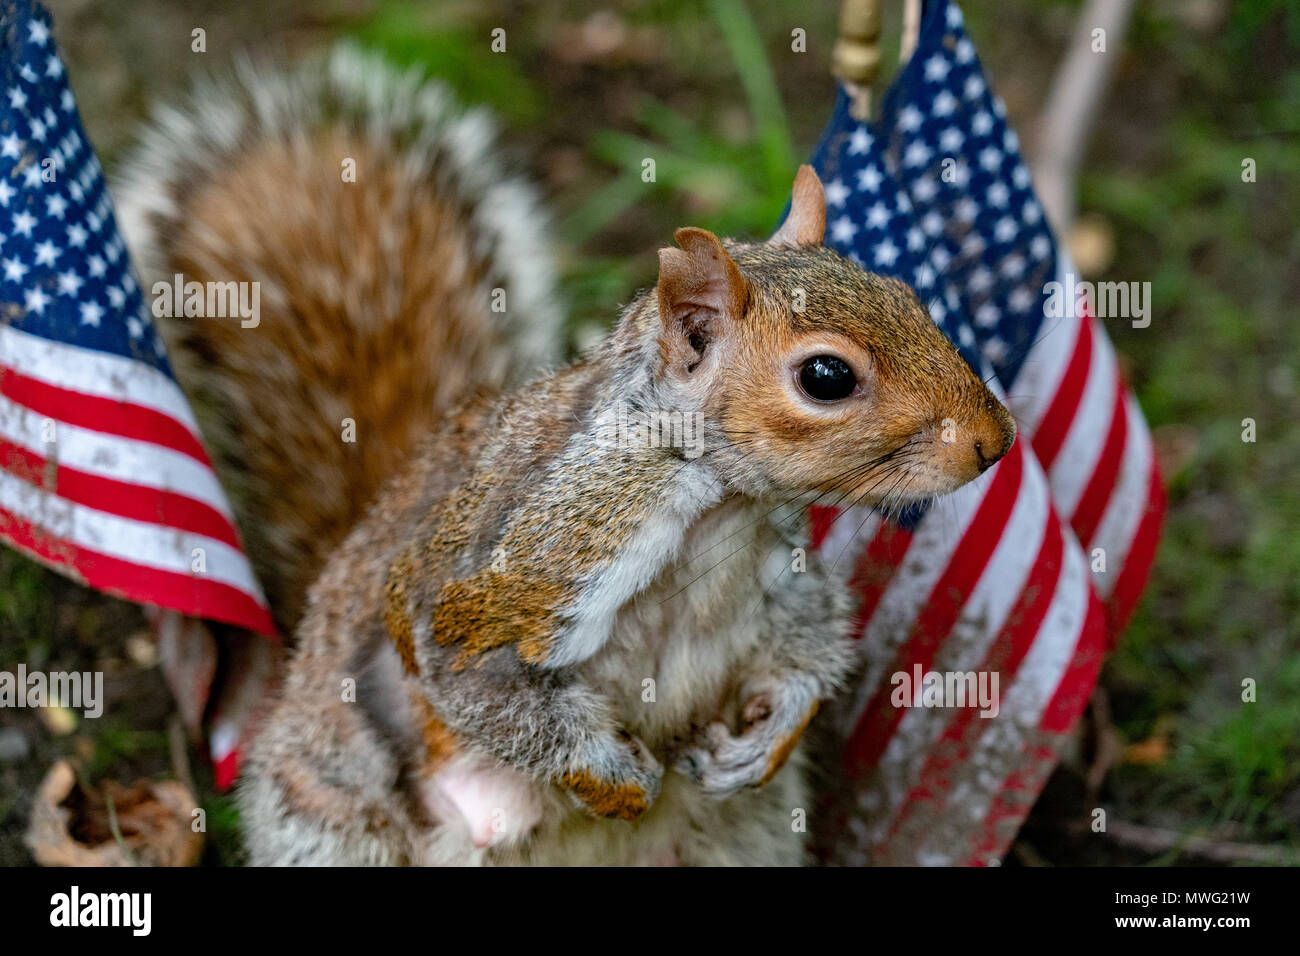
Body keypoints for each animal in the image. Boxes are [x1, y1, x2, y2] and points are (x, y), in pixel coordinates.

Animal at [116, 47, 1015, 865]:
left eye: (905, 293)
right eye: (827, 377)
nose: (995, 440)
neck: (721, 510)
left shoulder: (783, 572)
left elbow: (810, 640)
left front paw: (769, 735)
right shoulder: (544, 554)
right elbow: (467, 676)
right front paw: (617, 777)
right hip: (336, 819)